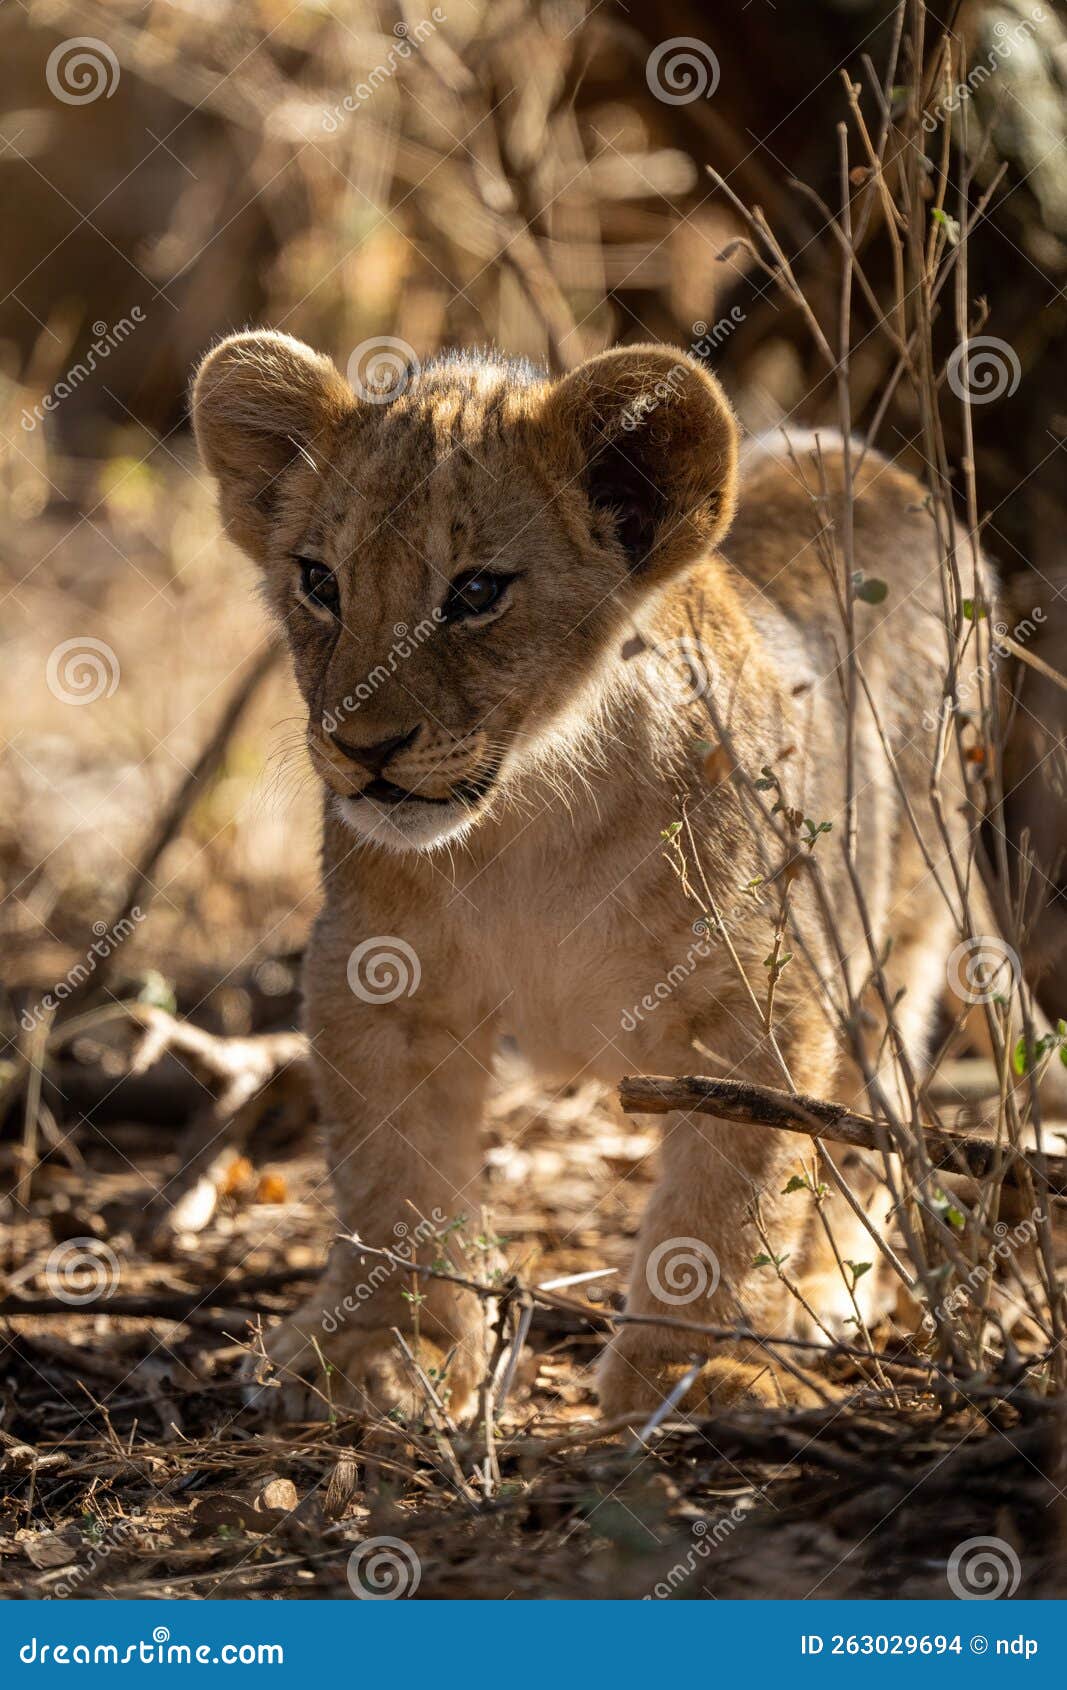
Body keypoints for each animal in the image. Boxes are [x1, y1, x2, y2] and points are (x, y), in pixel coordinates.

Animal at [192, 332, 997, 1421]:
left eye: (475, 594)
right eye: (319, 580)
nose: (361, 749)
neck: (527, 818)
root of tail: (875, 466)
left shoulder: (765, 1002)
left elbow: (732, 1194)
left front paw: (695, 1368)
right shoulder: (375, 977)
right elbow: (392, 1172)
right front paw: (387, 1341)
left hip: (901, 927)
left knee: (869, 1111)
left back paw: (831, 1287)